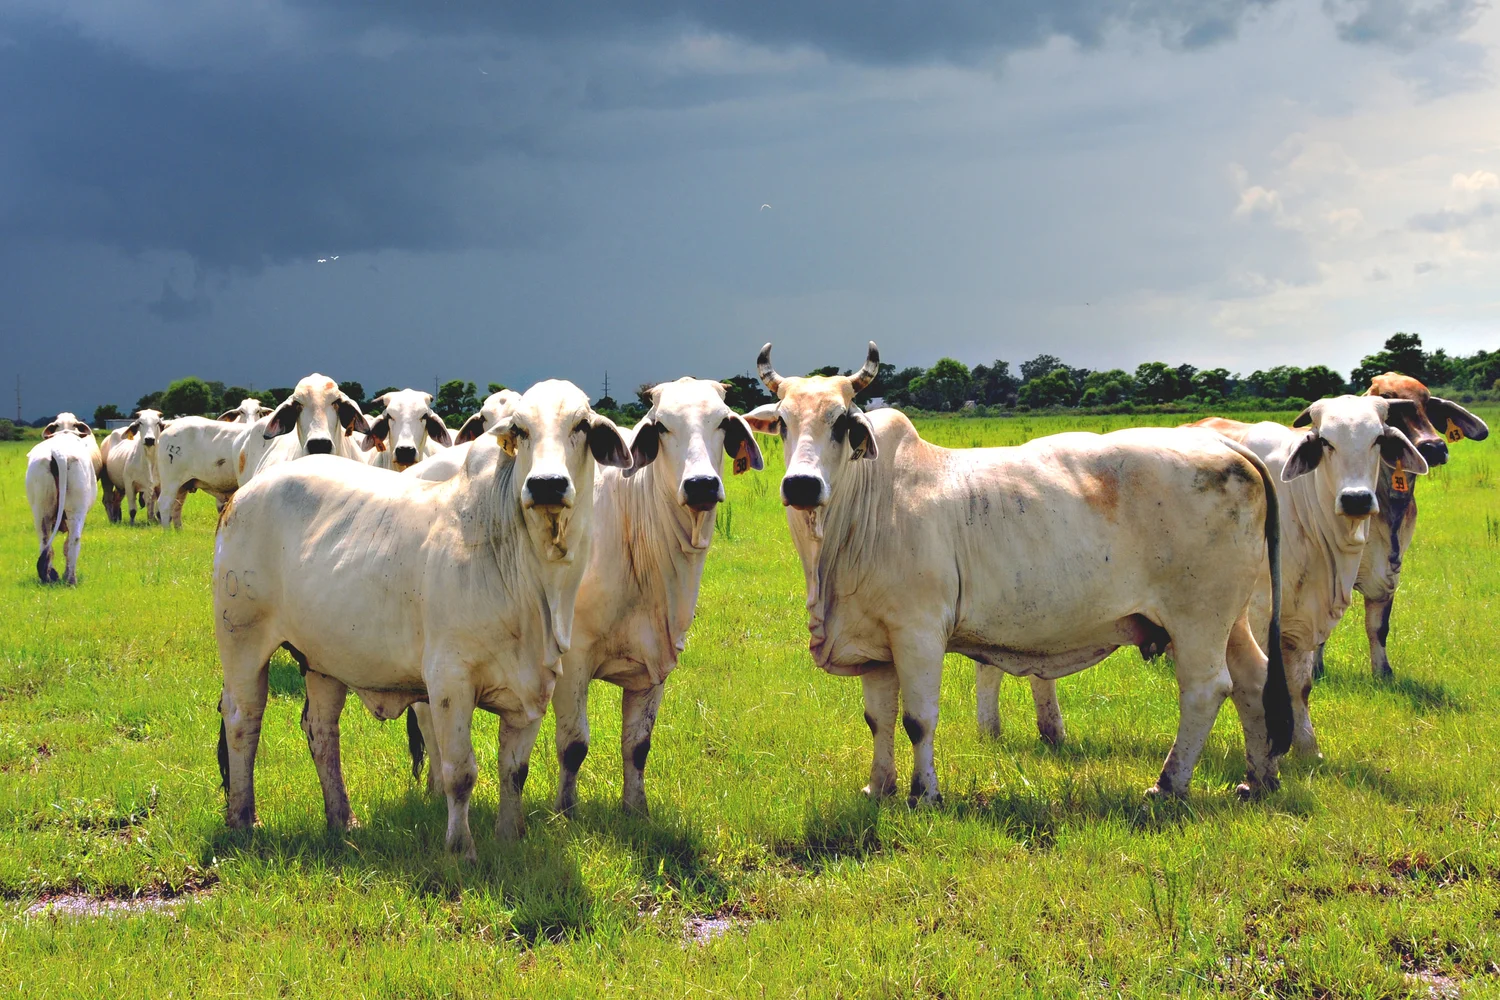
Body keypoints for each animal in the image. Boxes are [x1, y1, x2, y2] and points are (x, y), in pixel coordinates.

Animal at [26, 421, 98, 584]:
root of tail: (59, 454)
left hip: (41, 509)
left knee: (45, 540)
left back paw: (48, 576)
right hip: (76, 510)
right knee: (74, 540)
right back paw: (70, 578)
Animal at [404, 378, 762, 815]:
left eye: (724, 422)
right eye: (661, 426)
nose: (701, 485)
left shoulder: (654, 665)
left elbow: (638, 746)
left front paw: (635, 809)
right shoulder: (571, 660)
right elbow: (574, 745)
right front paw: (566, 810)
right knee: (427, 723)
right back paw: (438, 789)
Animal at [745, 342, 1293, 806]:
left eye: (841, 422)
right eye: (784, 422)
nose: (801, 485)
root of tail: (1225, 446)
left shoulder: (918, 632)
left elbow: (918, 720)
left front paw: (925, 793)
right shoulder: (875, 642)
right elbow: (878, 719)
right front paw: (879, 788)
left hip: (1197, 618)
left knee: (1205, 689)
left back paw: (1169, 785)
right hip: (1229, 618)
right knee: (1253, 680)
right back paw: (1258, 780)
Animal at [1311, 374, 1488, 679]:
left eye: (1427, 403)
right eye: (1389, 403)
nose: (1433, 447)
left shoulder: (1389, 572)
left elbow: (1378, 627)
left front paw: (1383, 672)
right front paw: (1312, 670)